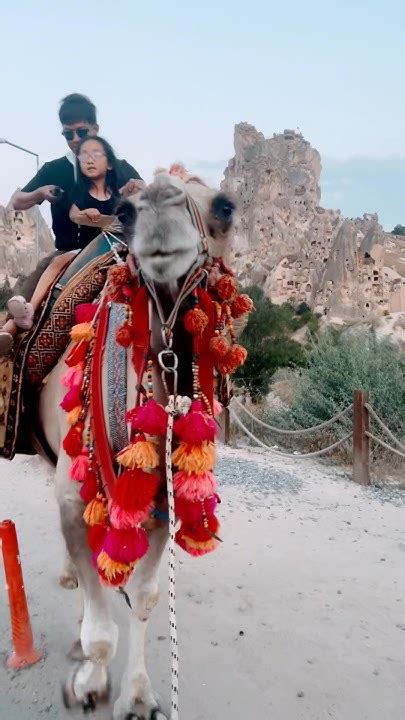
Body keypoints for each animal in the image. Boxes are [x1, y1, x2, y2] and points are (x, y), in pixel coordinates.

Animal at [37, 168, 243, 719]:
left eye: (226, 207)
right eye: (126, 212)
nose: (157, 203)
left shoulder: (162, 510)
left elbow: (147, 598)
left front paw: (137, 696)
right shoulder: (73, 497)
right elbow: (100, 629)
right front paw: (89, 685)